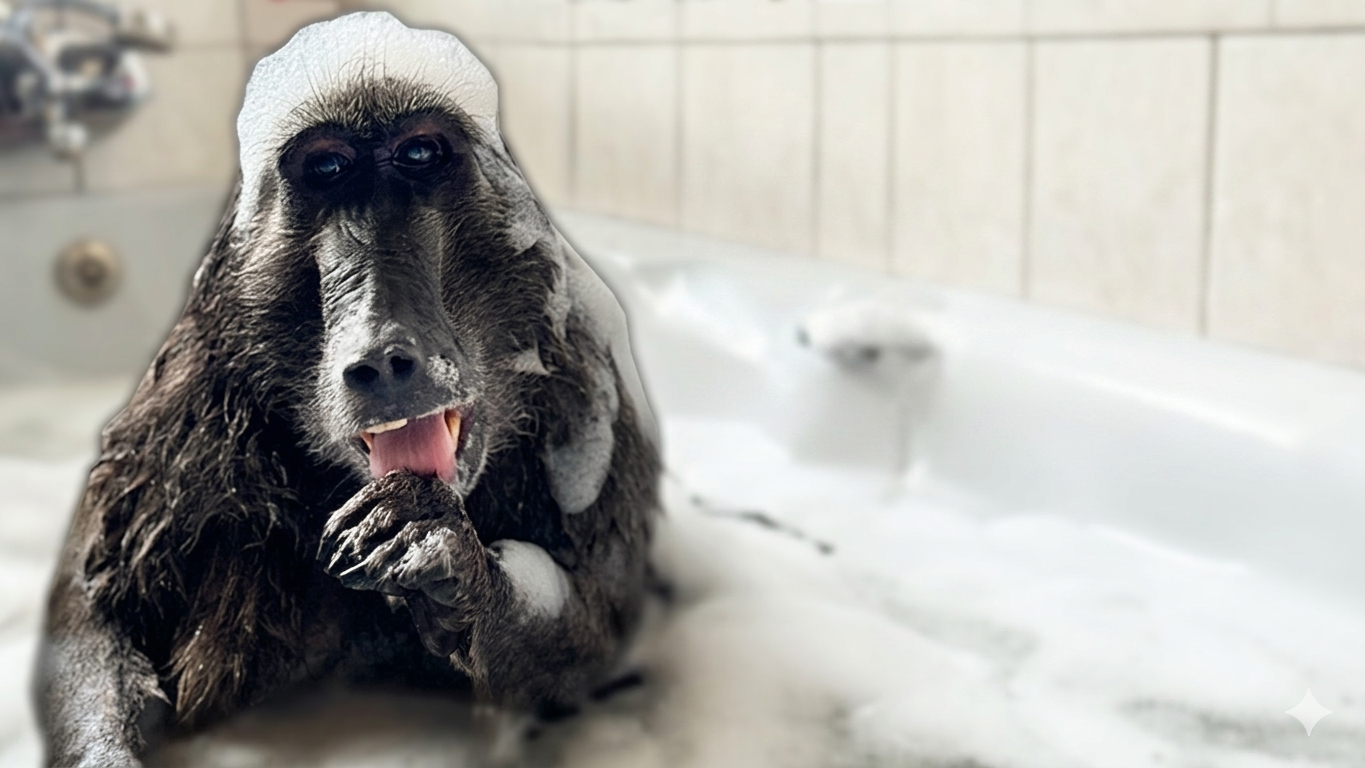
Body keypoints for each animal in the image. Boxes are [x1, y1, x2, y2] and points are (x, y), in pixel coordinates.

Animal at [34, 13, 660, 766]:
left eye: (419, 154)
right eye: (328, 168)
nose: (383, 358)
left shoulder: (589, 392)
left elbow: (603, 630)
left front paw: (447, 555)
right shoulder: (185, 407)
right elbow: (93, 604)